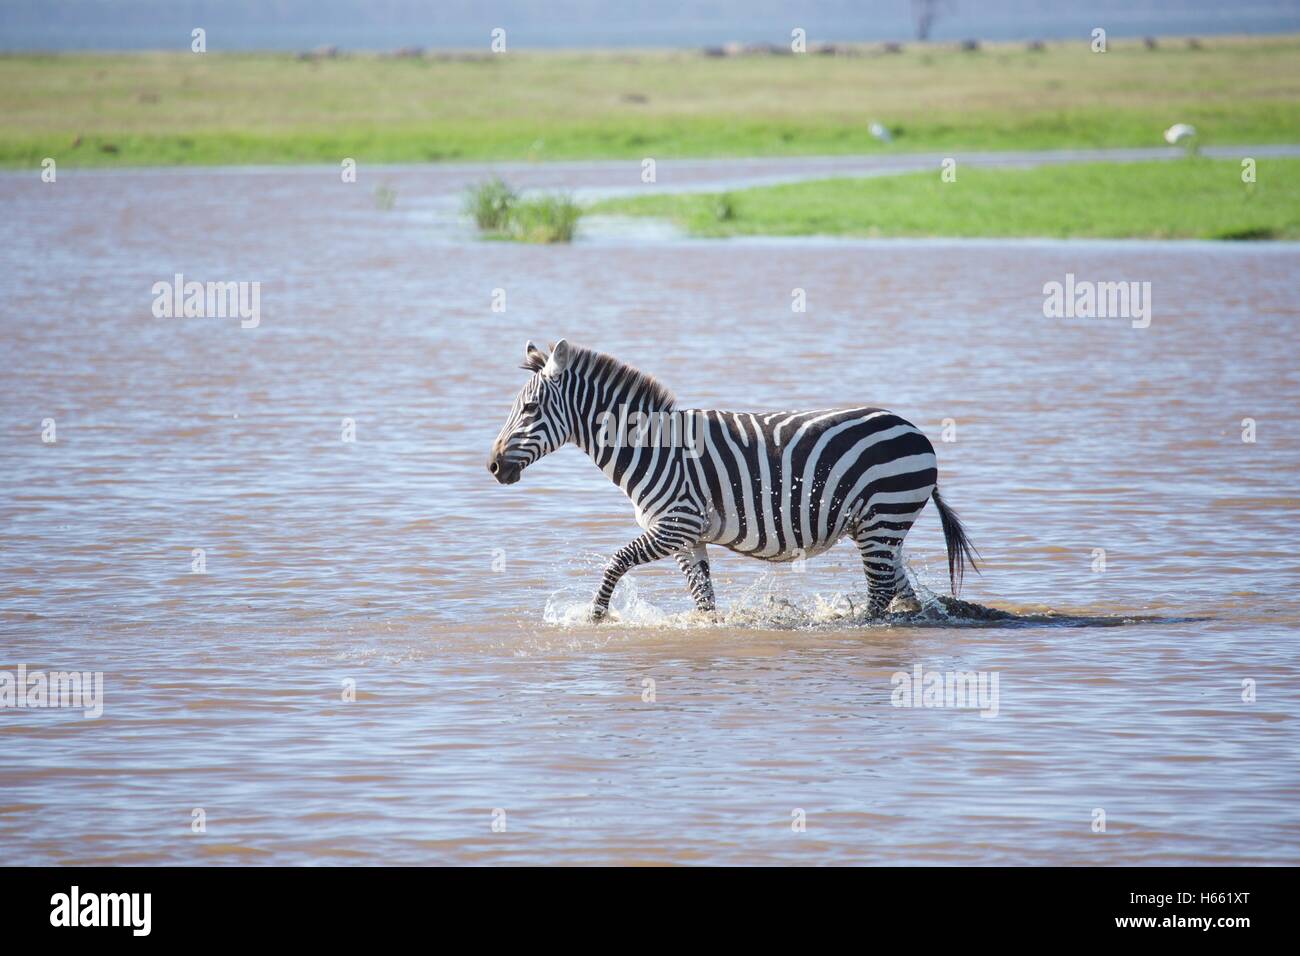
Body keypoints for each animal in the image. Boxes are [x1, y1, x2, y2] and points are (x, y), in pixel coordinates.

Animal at [488, 340, 978, 621]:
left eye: (529, 409)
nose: (492, 466)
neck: (651, 448)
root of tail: (915, 431)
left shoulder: (675, 524)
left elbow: (615, 561)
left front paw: (597, 616)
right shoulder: (687, 538)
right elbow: (703, 599)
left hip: (882, 519)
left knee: (879, 595)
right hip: (880, 527)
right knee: (900, 593)